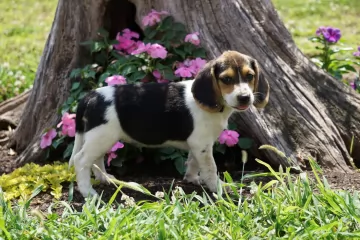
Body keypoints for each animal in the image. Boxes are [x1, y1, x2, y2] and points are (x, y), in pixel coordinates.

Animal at [69, 50, 268, 197]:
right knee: (81, 160)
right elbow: (210, 168)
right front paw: (218, 188)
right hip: (101, 137)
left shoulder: (198, 145)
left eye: (250, 76)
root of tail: (90, 96)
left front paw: (191, 178)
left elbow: (193, 162)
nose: (245, 97)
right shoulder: (202, 144)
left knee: (96, 159)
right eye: (226, 79)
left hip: (101, 138)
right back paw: (88, 193)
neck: (217, 106)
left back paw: (104, 178)